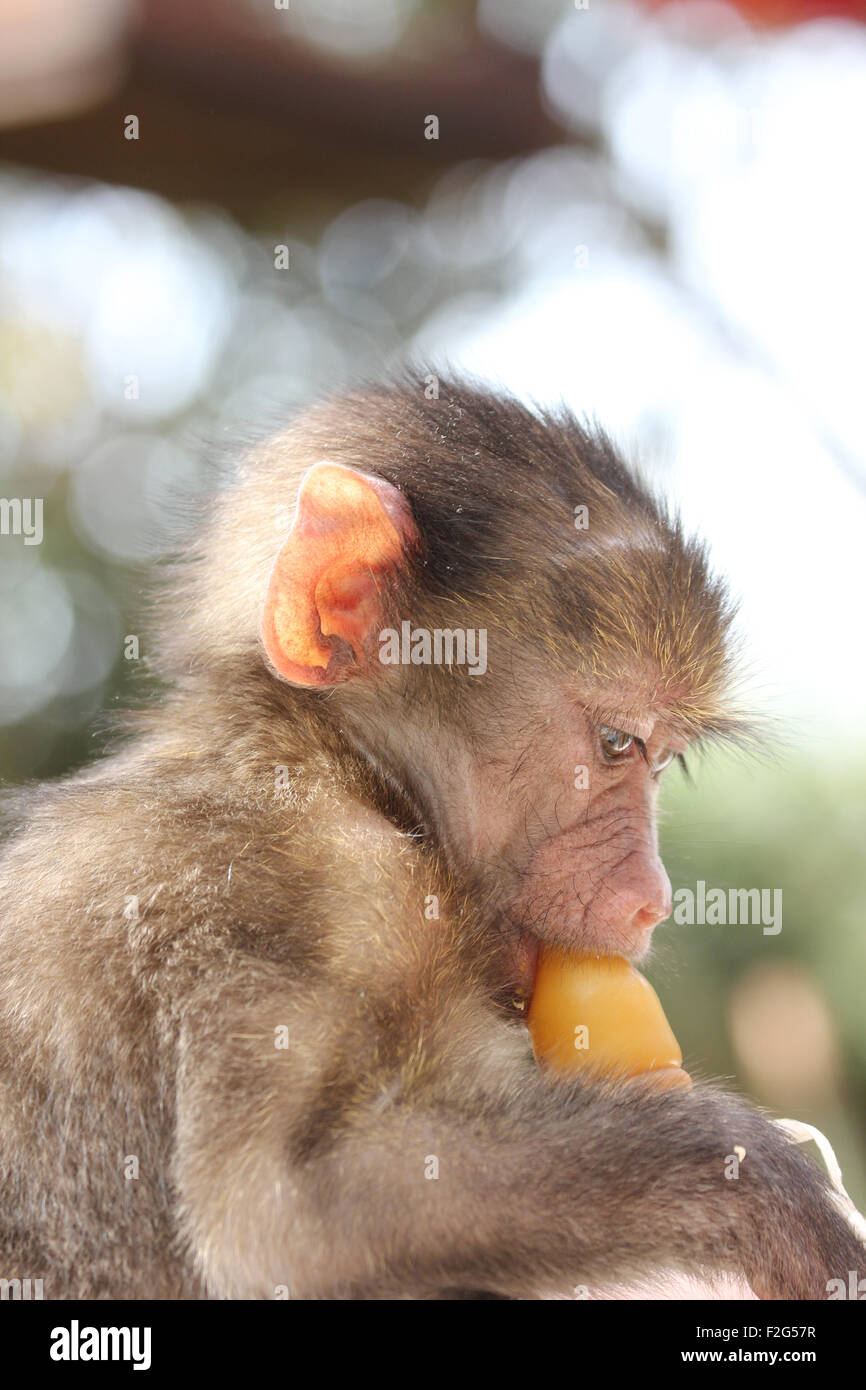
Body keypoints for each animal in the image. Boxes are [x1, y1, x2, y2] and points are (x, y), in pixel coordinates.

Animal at [0, 377, 861, 1301]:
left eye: (662, 760)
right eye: (616, 745)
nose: (652, 900)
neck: (345, 766)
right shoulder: (327, 892)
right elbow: (281, 1215)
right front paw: (774, 1197)